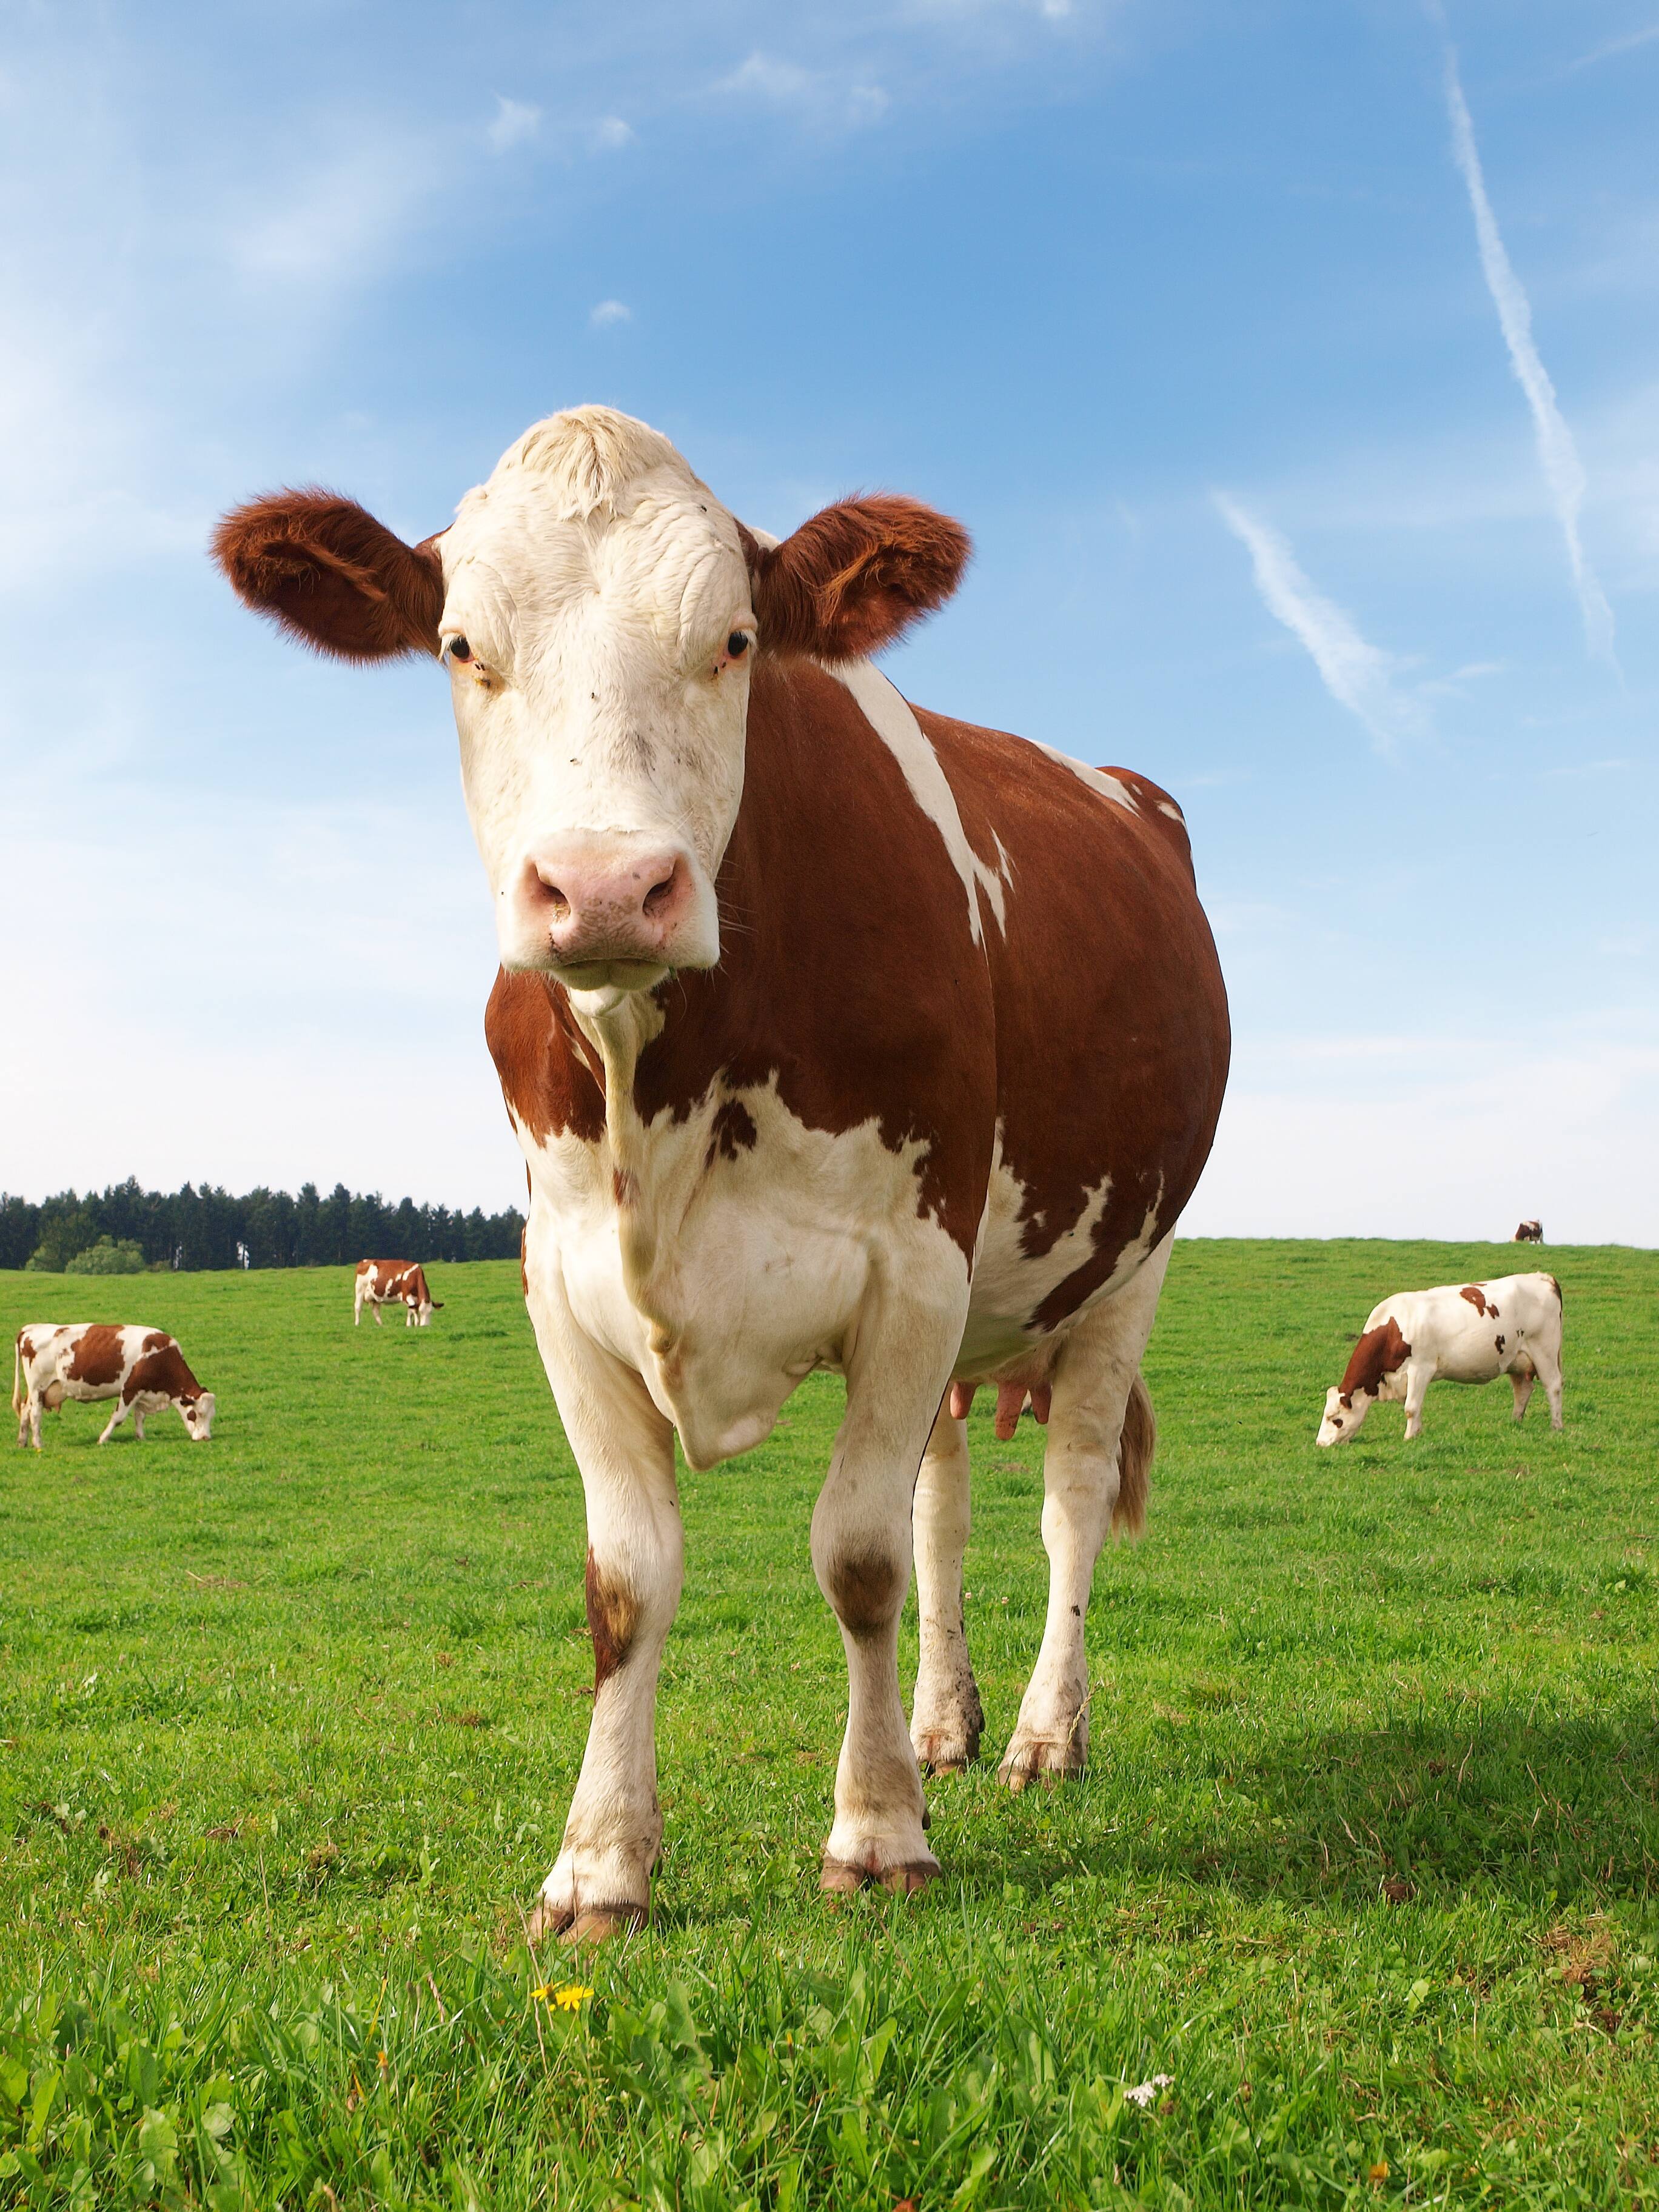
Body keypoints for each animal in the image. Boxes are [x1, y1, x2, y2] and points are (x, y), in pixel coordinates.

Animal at [13, 1324, 216, 1450]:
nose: (206, 1438)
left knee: (25, 1409)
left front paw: (141, 1437)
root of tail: (30, 1328)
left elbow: (140, 1416)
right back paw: (38, 1444)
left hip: (38, 1390)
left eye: (211, 1415)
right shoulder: (130, 1389)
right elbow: (119, 1417)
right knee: (35, 1414)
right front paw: (103, 1439)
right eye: (197, 1414)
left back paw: (22, 1441)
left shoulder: (143, 1391)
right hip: (37, 1387)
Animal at [354, 1259, 443, 1328]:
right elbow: (414, 1310)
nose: (425, 1326)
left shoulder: (416, 1299)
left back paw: (382, 1325)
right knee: (358, 1307)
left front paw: (409, 1325)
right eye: (421, 1312)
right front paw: (416, 1324)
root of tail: (364, 1261)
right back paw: (357, 1324)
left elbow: (410, 1311)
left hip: (376, 1296)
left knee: (376, 1311)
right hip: (360, 1289)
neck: (414, 1276)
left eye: (431, 1312)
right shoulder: (406, 1296)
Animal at [1316, 1272, 1563, 1446]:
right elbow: (1416, 1407)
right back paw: (1514, 1423)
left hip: (1545, 1350)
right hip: (1516, 1360)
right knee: (1522, 1390)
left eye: (1334, 1418)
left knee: (1553, 1386)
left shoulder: (1421, 1368)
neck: (1395, 1328)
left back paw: (1556, 1426)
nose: (1320, 1443)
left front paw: (1409, 1437)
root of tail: (1542, 1277)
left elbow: (1411, 1407)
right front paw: (1417, 1433)